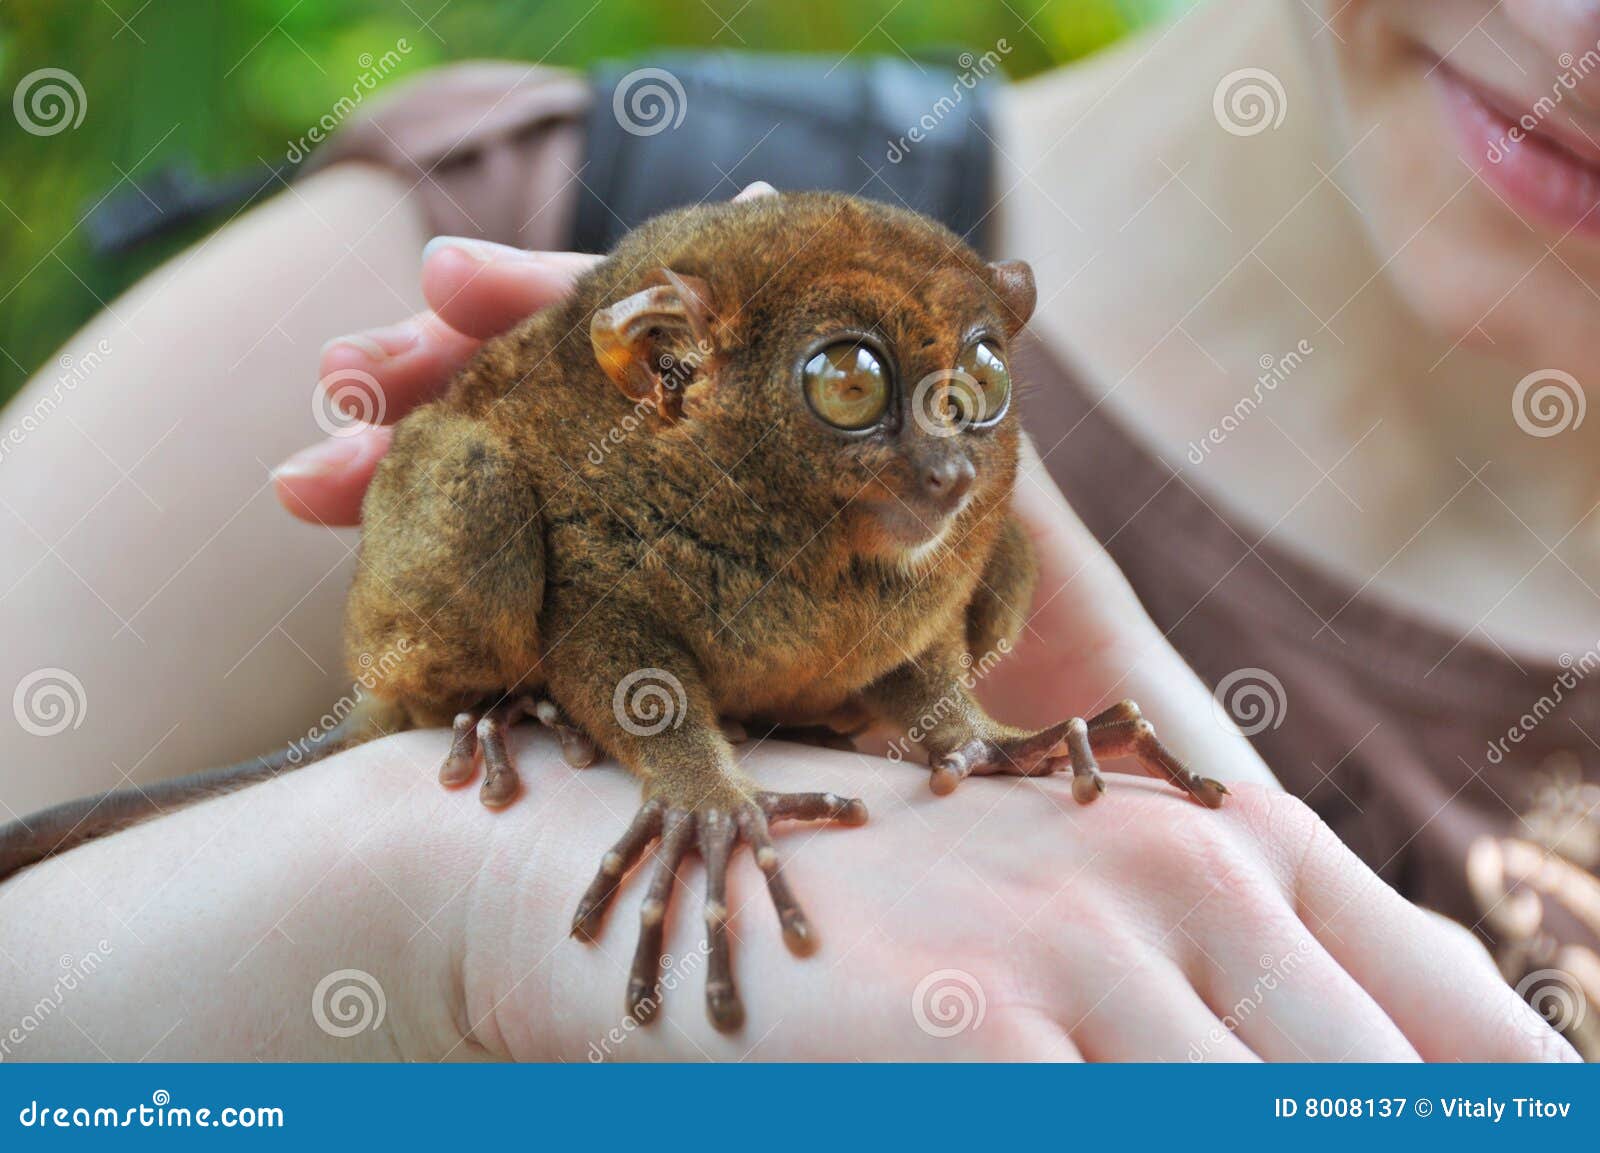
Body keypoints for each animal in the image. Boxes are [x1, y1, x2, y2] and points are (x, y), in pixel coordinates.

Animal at [0, 193, 1225, 1032]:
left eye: (983, 379)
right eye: (849, 384)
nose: (952, 468)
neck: (820, 551)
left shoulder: (928, 595)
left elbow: (926, 664)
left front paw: (1002, 743)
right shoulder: (604, 548)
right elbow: (607, 651)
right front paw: (711, 812)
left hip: (1003, 547)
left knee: (1006, 556)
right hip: (427, 576)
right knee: (478, 488)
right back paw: (503, 715)